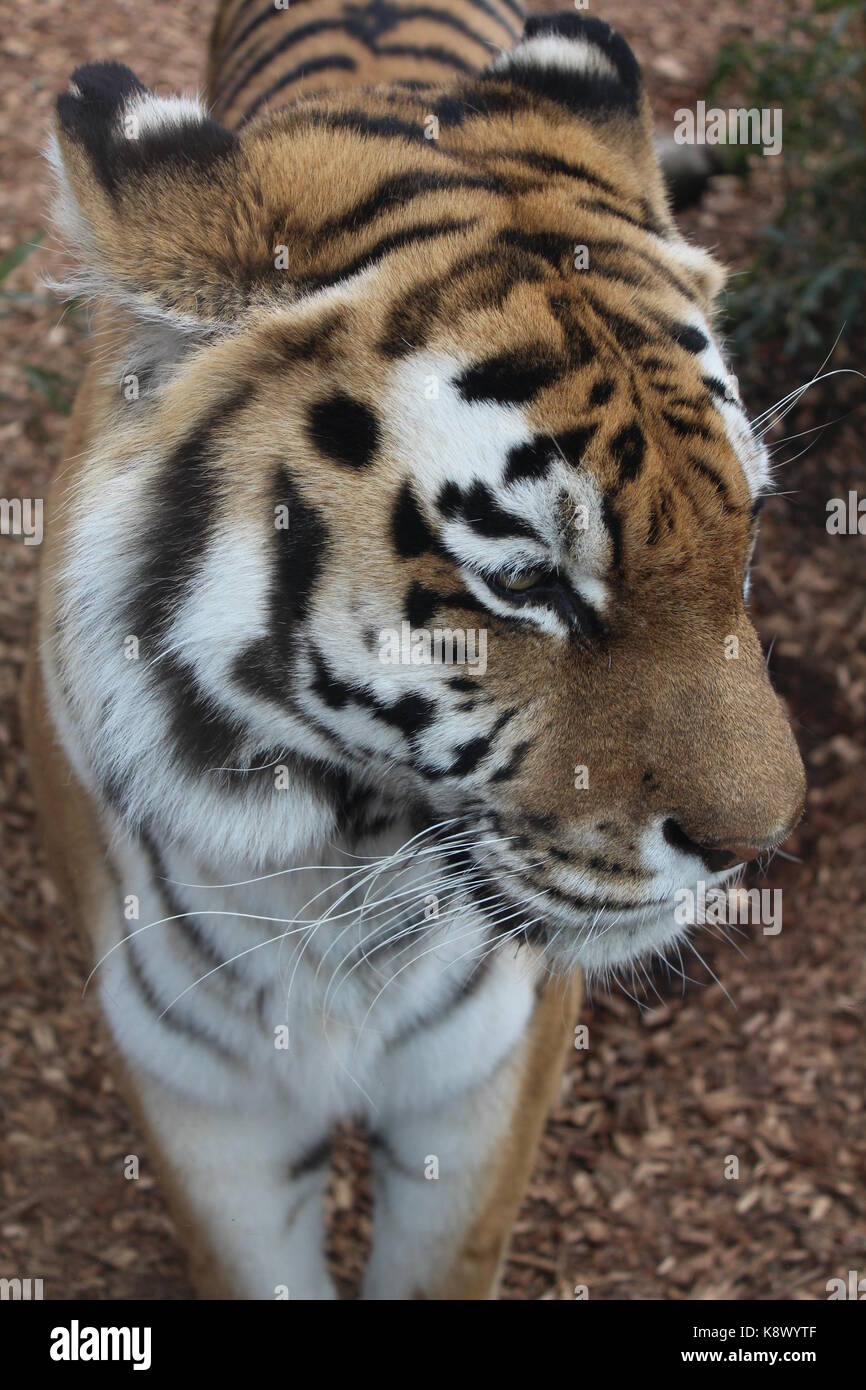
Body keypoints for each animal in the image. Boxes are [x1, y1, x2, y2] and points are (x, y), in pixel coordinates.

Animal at [24, 0, 805, 1300]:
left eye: (742, 530)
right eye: (526, 581)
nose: (751, 849)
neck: (338, 857)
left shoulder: (480, 1085)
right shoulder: (204, 1105)